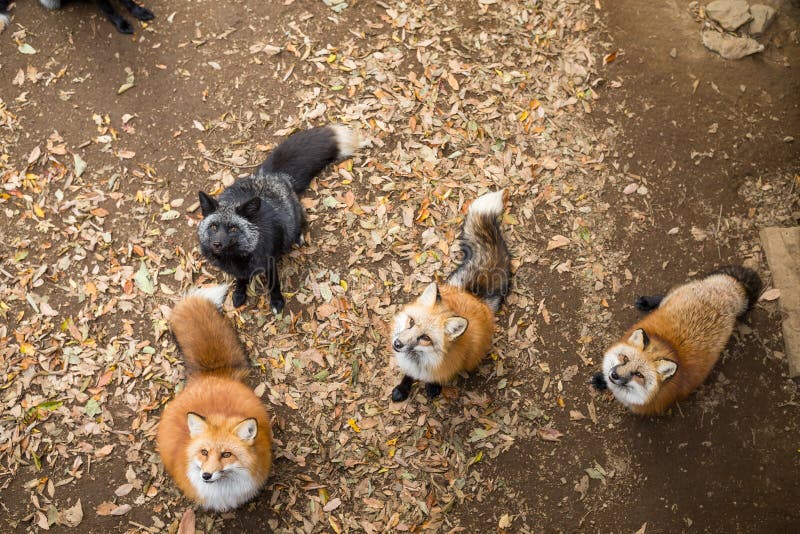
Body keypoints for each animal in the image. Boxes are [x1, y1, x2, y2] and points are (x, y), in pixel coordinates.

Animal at [198, 125, 359, 313]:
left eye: (233, 228)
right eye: (213, 227)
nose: (216, 244)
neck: (236, 256)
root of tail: (273, 176)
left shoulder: (270, 263)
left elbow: (273, 286)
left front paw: (276, 302)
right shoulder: (239, 270)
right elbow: (240, 280)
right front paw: (239, 294)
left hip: (295, 219)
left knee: (302, 221)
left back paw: (298, 237)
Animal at [390, 190, 512, 402]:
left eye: (425, 338)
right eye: (411, 322)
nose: (397, 344)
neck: (419, 361)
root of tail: (473, 295)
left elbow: (435, 379)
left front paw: (432, 388)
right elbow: (407, 376)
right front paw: (403, 388)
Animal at [590, 265, 762, 416]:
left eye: (639, 375)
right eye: (624, 358)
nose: (614, 375)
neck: (666, 346)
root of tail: (730, 290)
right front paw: (602, 379)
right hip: (671, 296)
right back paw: (648, 302)